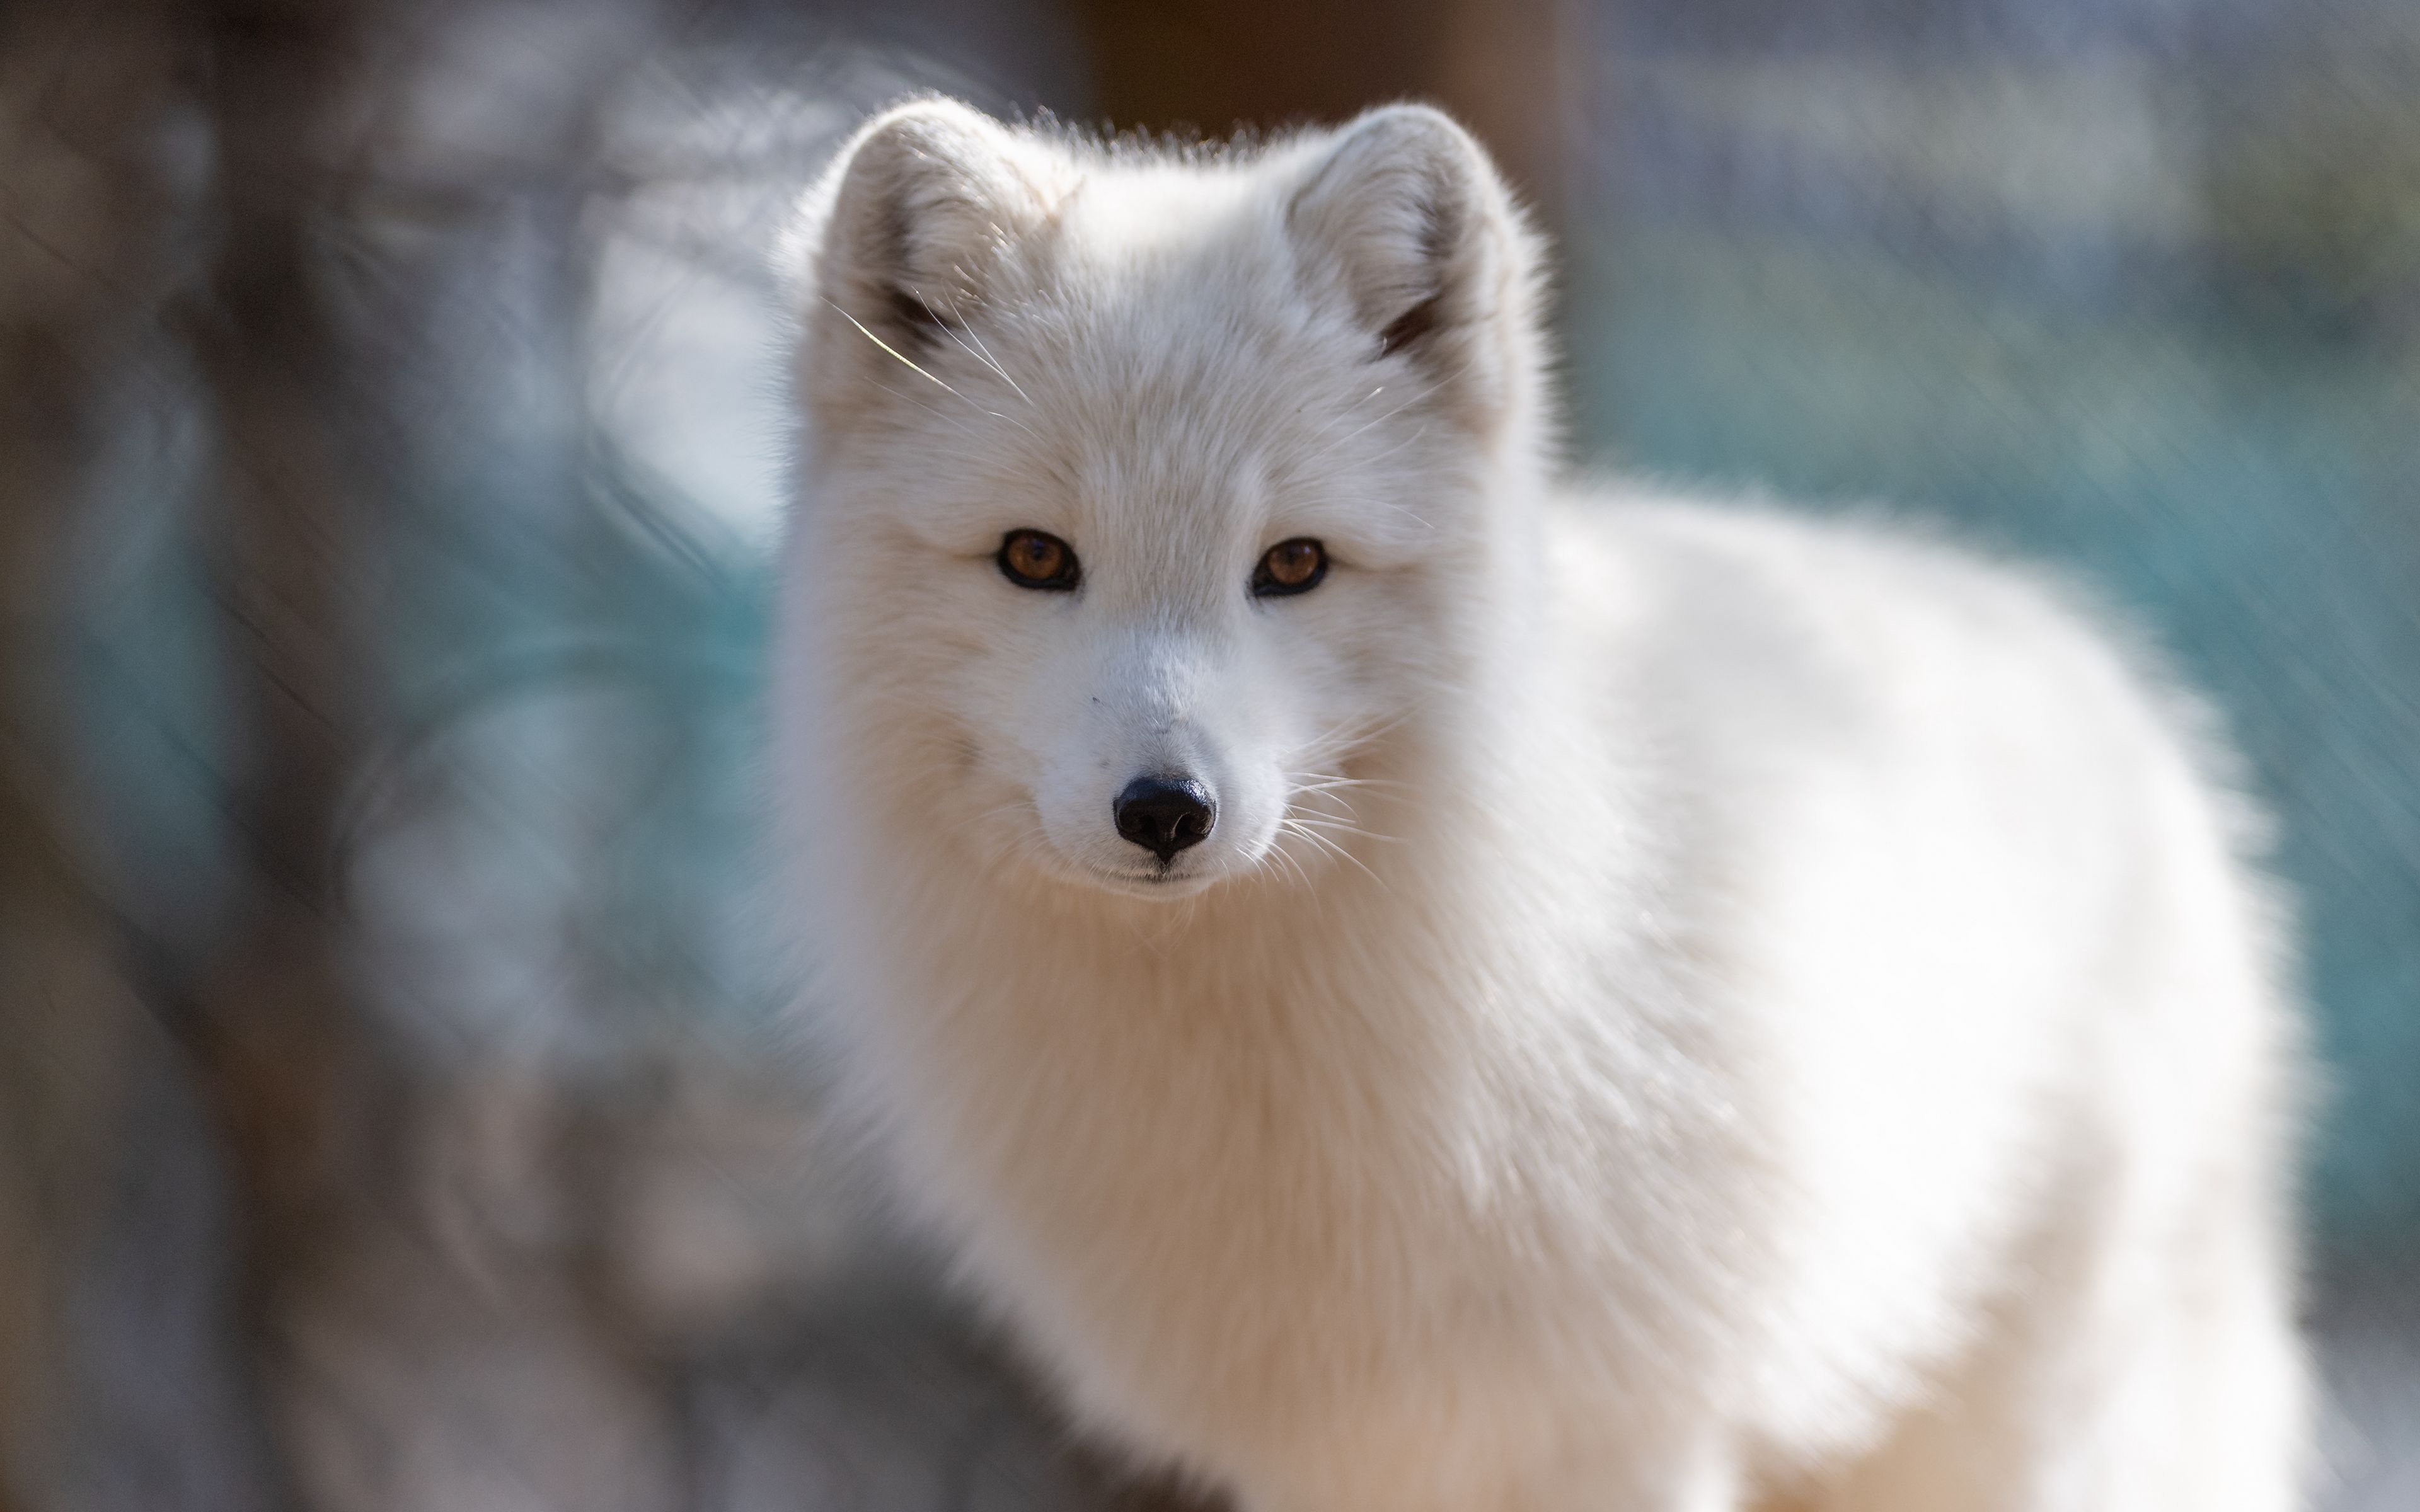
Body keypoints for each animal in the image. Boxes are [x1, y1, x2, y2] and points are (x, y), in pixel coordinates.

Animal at [770, 97, 2309, 1511]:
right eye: (1035, 557)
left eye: (1294, 565)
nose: (1166, 811)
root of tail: (2092, 654)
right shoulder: (1330, 1452)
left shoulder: (1624, 1430)